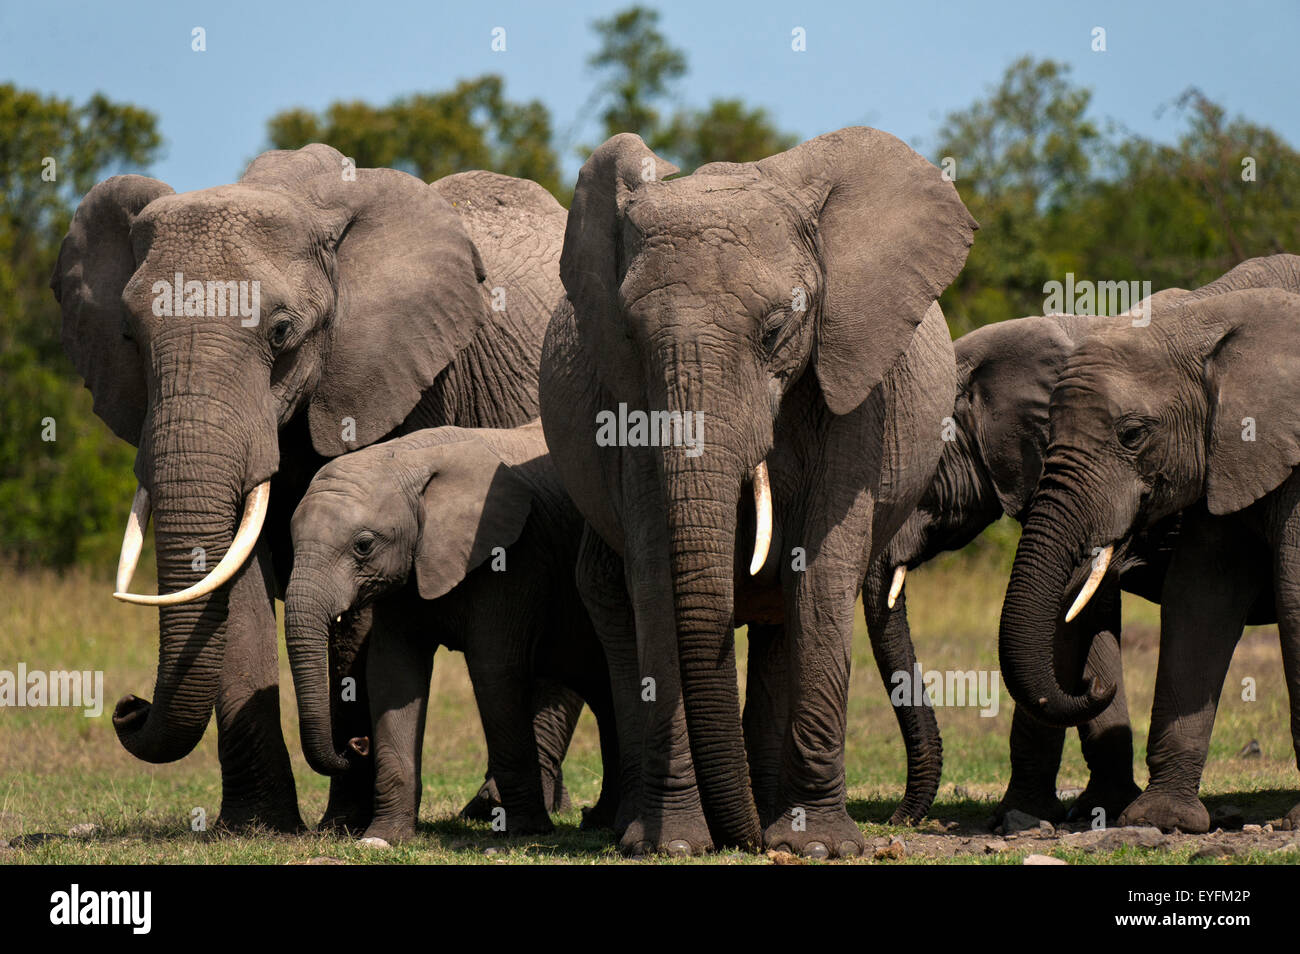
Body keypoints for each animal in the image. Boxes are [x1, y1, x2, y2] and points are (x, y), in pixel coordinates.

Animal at [49, 144, 584, 831]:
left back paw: (491, 809)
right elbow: (236, 573)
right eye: (129, 336)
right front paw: (254, 827)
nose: (128, 707)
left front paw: (344, 822)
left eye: (281, 332)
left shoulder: (403, 376)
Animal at [283, 421, 620, 844]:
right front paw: (384, 838)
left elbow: (494, 669)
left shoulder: (514, 554)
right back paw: (603, 819)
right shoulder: (405, 572)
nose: (357, 744)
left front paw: (525, 831)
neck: (408, 459)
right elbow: (392, 675)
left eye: (363, 546)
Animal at [539, 127, 976, 856]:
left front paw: (822, 846)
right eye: (630, 333)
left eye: (776, 330)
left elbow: (821, 573)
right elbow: (654, 580)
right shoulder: (627, 405)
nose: (736, 838)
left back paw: (775, 820)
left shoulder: (854, 381)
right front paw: (673, 844)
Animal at [997, 253, 1300, 833]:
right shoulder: (1223, 453)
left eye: (1133, 434)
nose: (1095, 686)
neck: (1208, 318)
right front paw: (1163, 820)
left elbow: (1294, 594)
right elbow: (1201, 595)